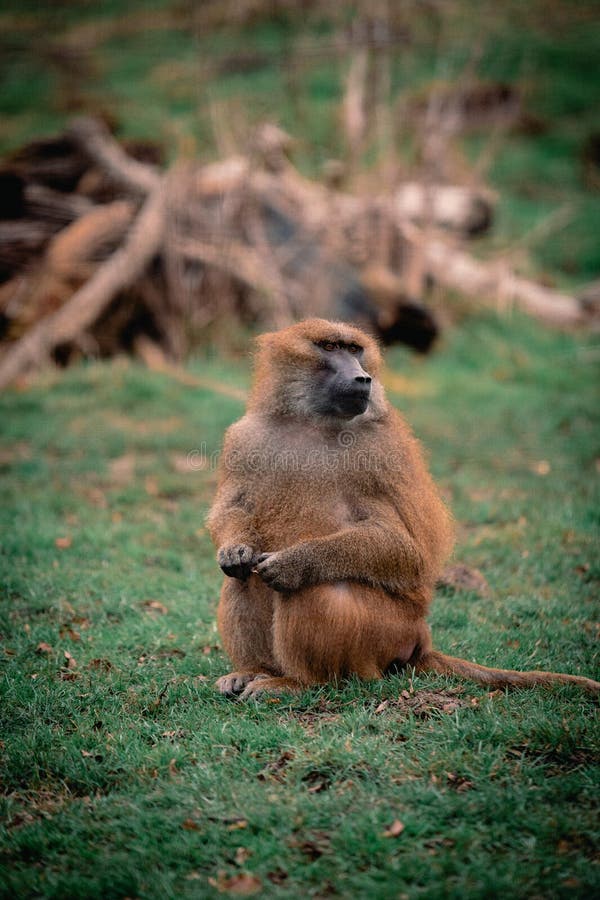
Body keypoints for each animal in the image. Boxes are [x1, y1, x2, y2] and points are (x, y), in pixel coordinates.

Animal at [207, 318, 600, 699]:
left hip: (388, 632)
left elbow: (405, 546)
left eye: (355, 349)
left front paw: (295, 562)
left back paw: (298, 682)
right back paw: (253, 671)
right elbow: (234, 509)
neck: (311, 423)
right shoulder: (244, 438)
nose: (362, 378)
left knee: (313, 589)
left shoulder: (380, 452)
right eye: (330, 346)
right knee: (240, 579)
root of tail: (420, 639)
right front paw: (235, 548)